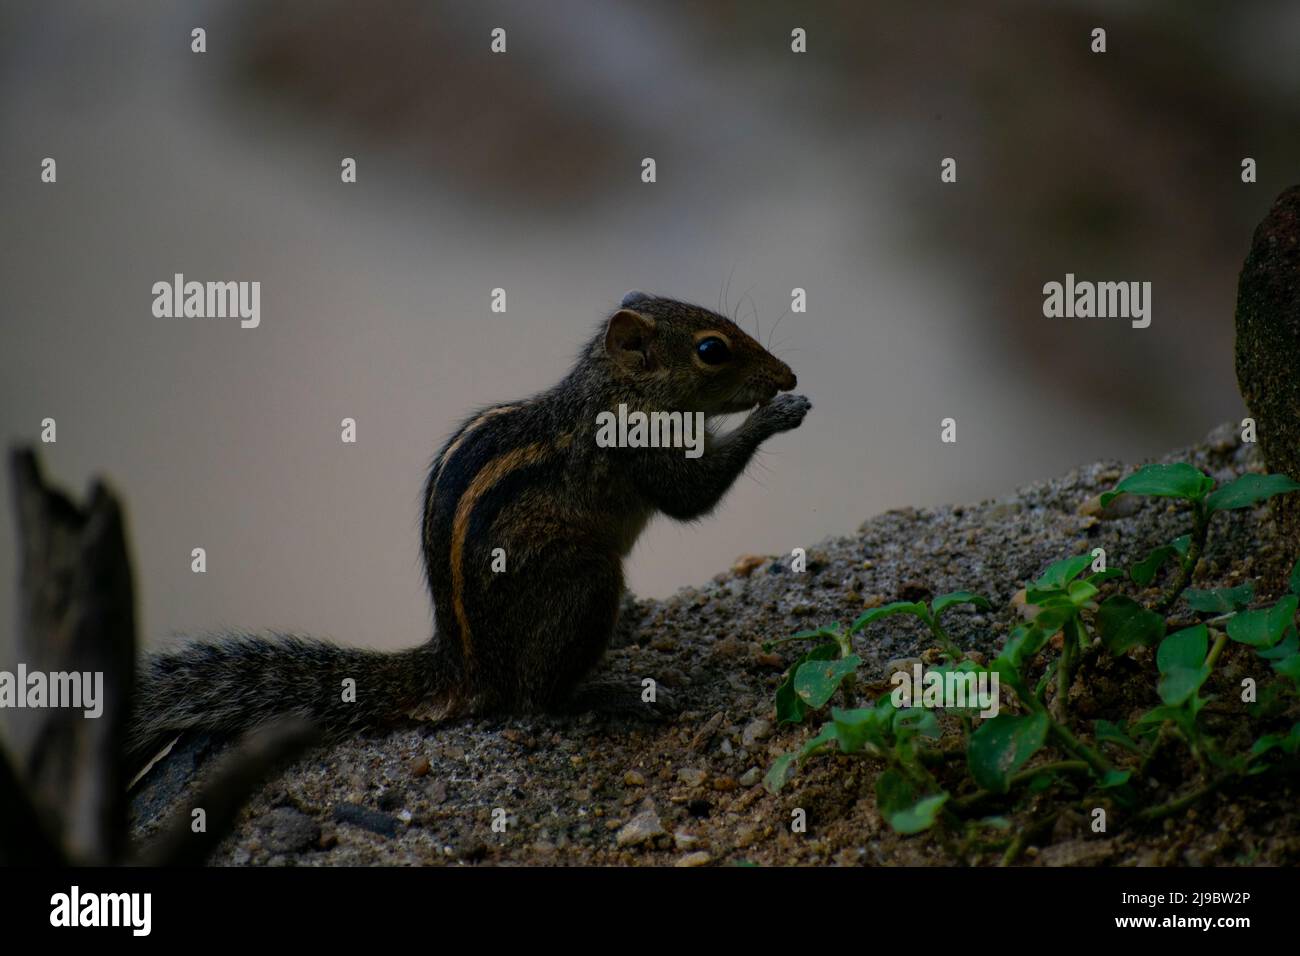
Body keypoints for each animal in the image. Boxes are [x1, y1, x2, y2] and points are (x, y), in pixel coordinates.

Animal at [127, 292, 810, 768]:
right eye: (712, 350)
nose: (788, 375)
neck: (612, 389)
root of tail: (461, 667)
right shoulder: (640, 448)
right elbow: (692, 496)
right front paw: (776, 416)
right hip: (582, 580)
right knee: (538, 697)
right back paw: (611, 692)